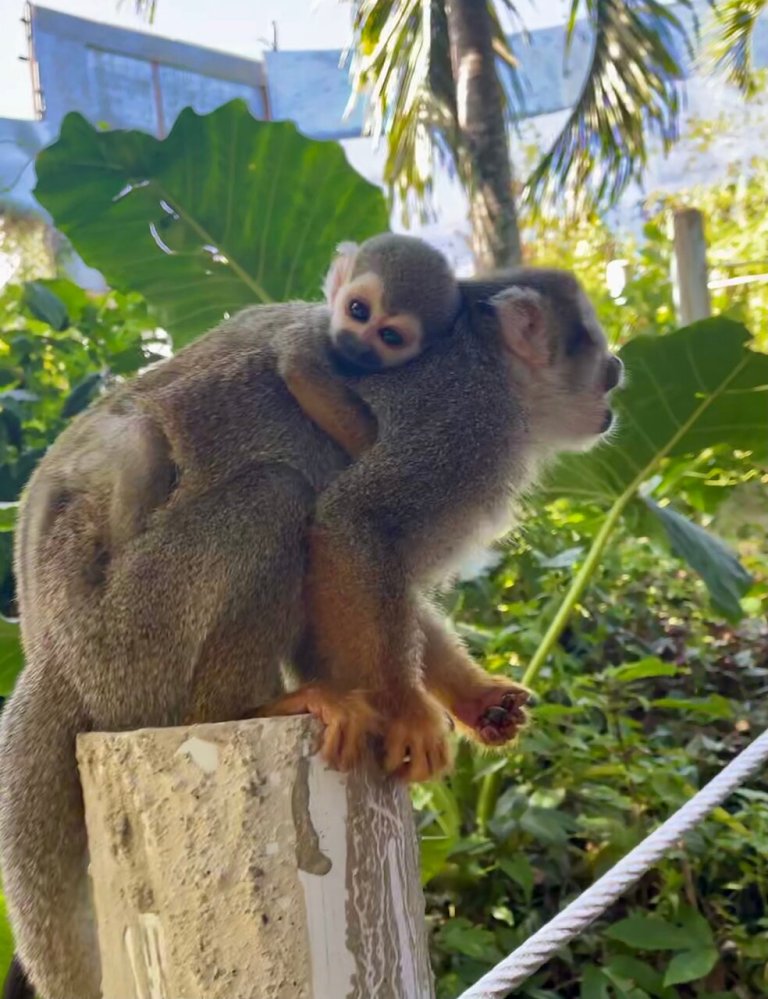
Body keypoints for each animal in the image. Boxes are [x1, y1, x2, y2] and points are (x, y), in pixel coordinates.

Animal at [0, 266, 622, 999]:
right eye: (589, 343)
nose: (617, 368)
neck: (502, 379)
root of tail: (55, 657)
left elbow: (379, 577)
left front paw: (472, 697)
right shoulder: (466, 431)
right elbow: (349, 525)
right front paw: (407, 712)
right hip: (129, 644)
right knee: (276, 497)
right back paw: (251, 705)